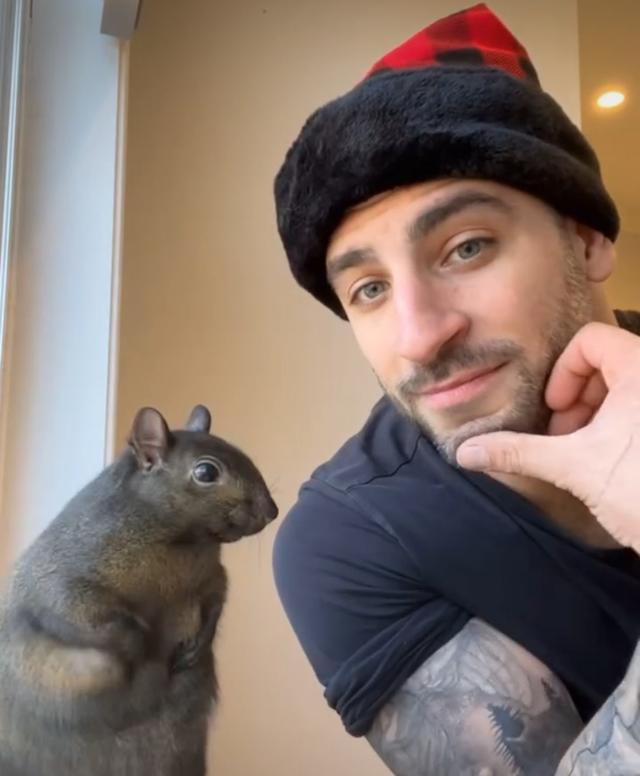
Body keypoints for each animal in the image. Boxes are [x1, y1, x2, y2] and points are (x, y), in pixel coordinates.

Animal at [0, 404, 278, 776]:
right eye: (206, 472)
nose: (272, 511)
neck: (180, 543)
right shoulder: (63, 575)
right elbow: (76, 609)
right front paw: (140, 645)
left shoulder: (212, 579)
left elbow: (216, 604)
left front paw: (196, 646)